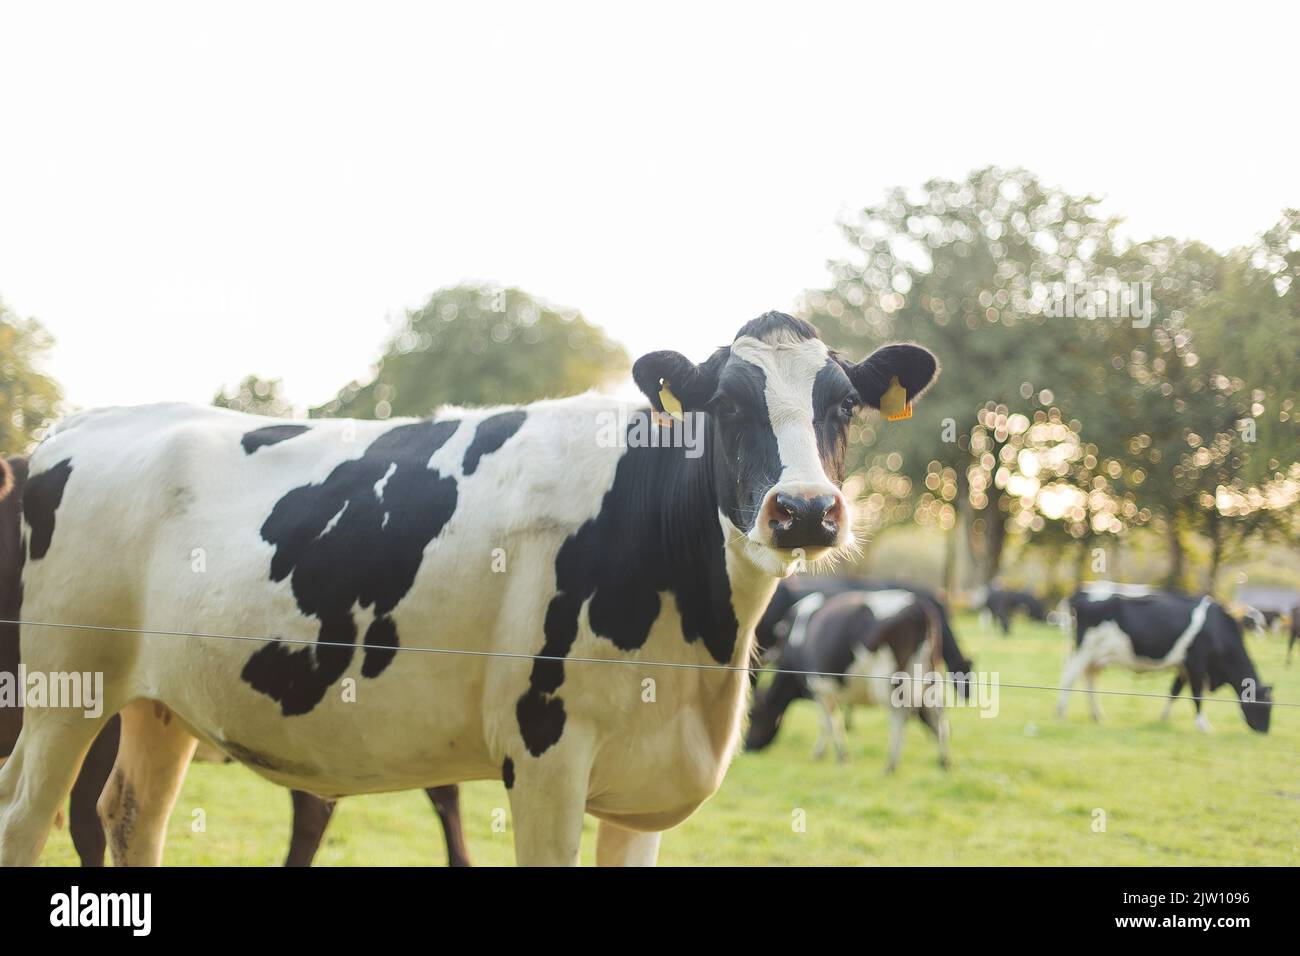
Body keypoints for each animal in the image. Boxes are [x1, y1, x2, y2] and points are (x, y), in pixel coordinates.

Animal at [745, 588, 950, 771]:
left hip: (889, 679)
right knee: (937, 711)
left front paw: (837, 756)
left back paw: (891, 764)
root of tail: (917, 604)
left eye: (752, 715)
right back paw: (943, 761)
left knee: (900, 714)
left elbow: (828, 721)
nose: (748, 747)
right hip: (931, 672)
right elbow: (828, 722)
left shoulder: (819, 687)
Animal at [1058, 590, 1272, 733]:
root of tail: (1082, 594)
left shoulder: (1184, 667)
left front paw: (1163, 719)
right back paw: (1061, 714)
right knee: (1069, 678)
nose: (1265, 731)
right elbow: (1197, 696)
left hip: (1096, 658)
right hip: (1083, 651)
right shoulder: (1196, 663)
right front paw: (1203, 725)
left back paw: (1097, 716)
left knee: (1090, 681)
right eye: (1264, 706)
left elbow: (1174, 692)